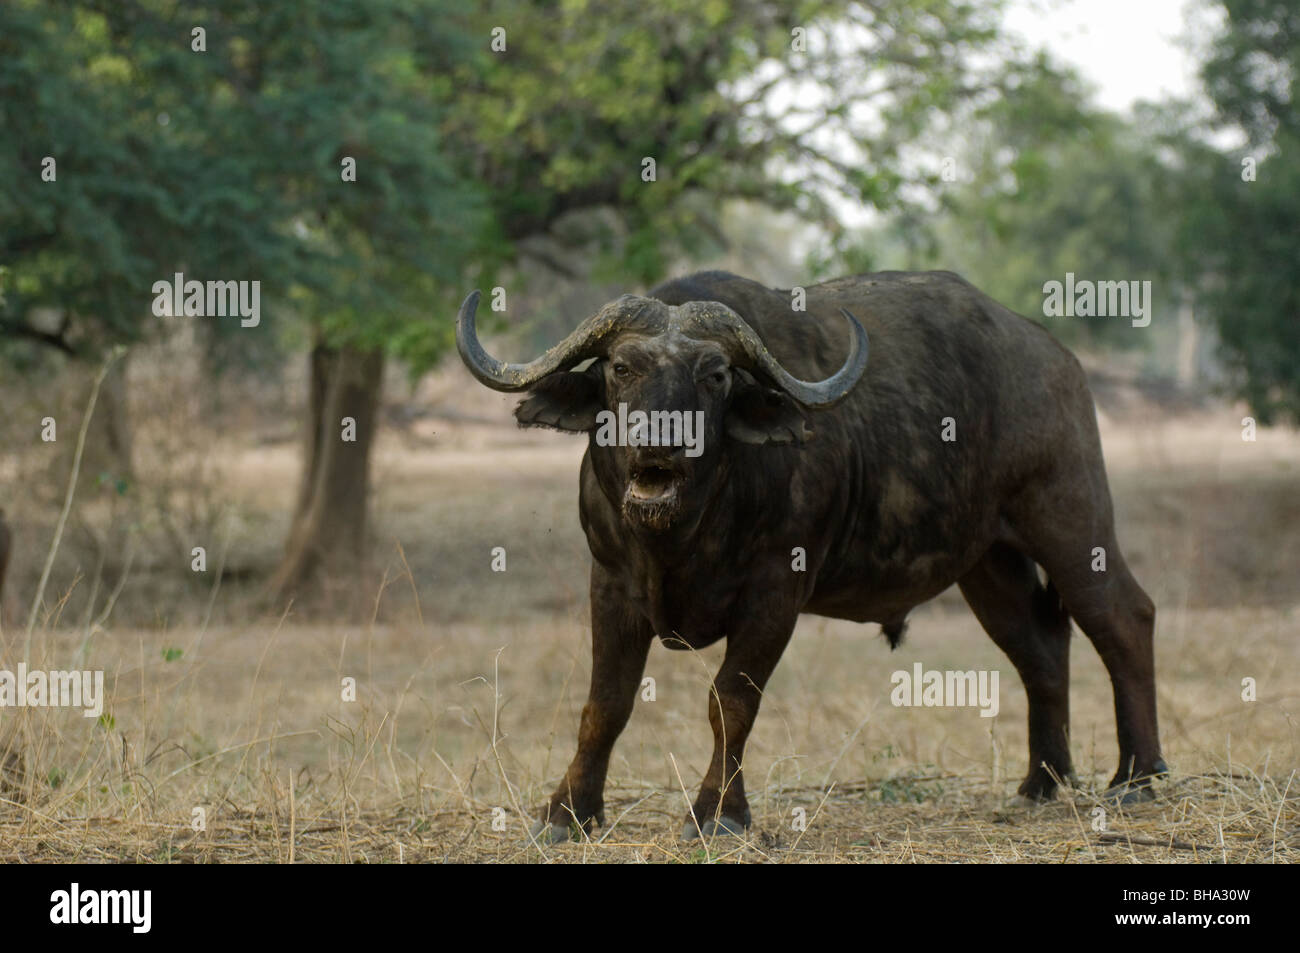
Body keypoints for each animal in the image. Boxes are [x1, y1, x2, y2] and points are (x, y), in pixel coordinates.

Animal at [455, 269, 1165, 841]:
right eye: (620, 368)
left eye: (715, 376)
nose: (661, 441)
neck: (682, 533)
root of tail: (1055, 357)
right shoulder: (610, 583)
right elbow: (606, 703)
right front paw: (567, 812)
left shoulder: (776, 592)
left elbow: (730, 701)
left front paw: (718, 815)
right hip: (988, 561)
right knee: (1040, 645)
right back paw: (1043, 781)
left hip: (1069, 514)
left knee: (1123, 618)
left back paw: (1136, 777)